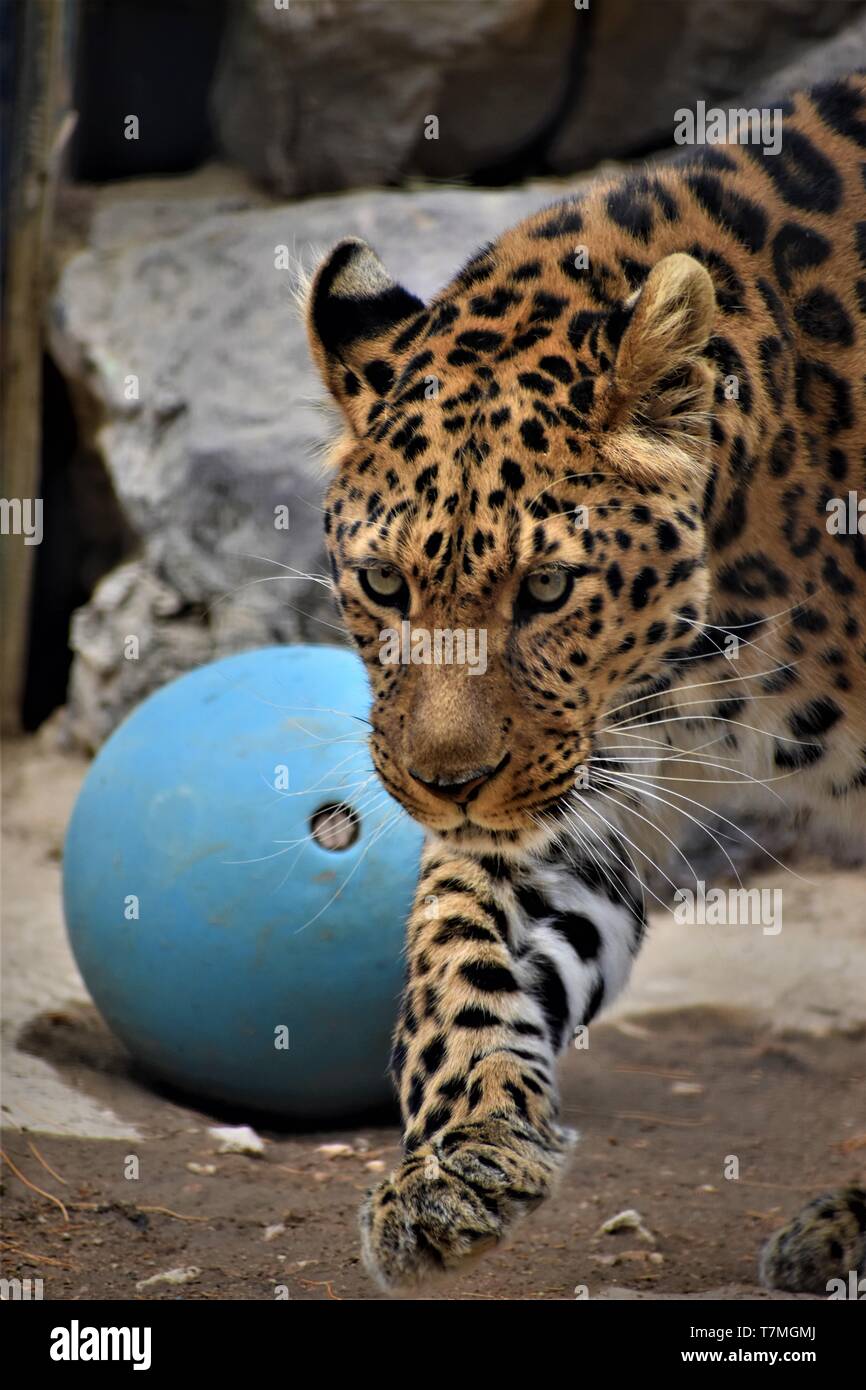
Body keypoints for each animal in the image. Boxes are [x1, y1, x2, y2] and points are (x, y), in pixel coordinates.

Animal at [304, 73, 866, 1296]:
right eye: (383, 582)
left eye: (549, 587)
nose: (445, 784)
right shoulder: (585, 798)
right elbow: (459, 943)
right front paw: (460, 1159)